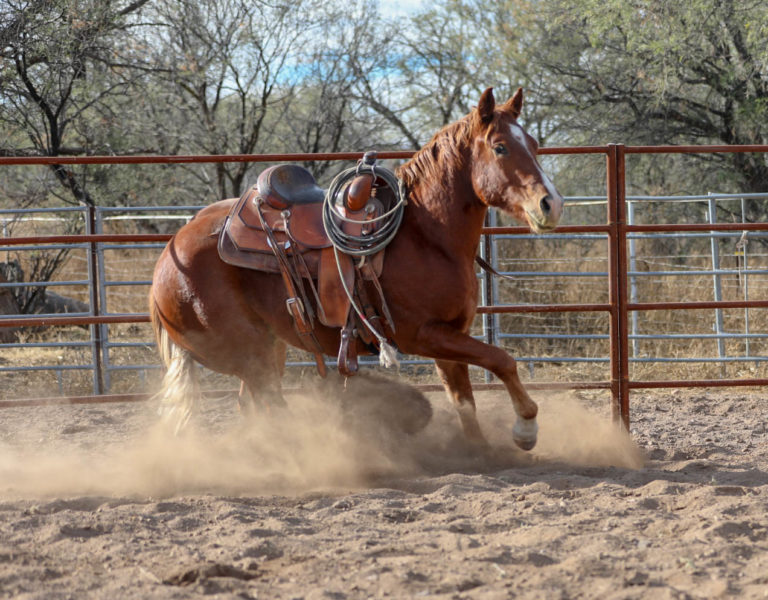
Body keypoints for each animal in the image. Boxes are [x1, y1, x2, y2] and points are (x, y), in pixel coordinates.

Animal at [149, 87, 564, 449]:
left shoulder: (451, 336)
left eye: (534, 144)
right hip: (249, 352)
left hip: (268, 345)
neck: (425, 235)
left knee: (254, 405)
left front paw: (480, 450)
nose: (551, 204)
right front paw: (525, 428)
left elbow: (464, 399)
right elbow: (501, 359)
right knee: (271, 405)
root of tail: (169, 254)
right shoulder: (422, 334)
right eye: (500, 146)